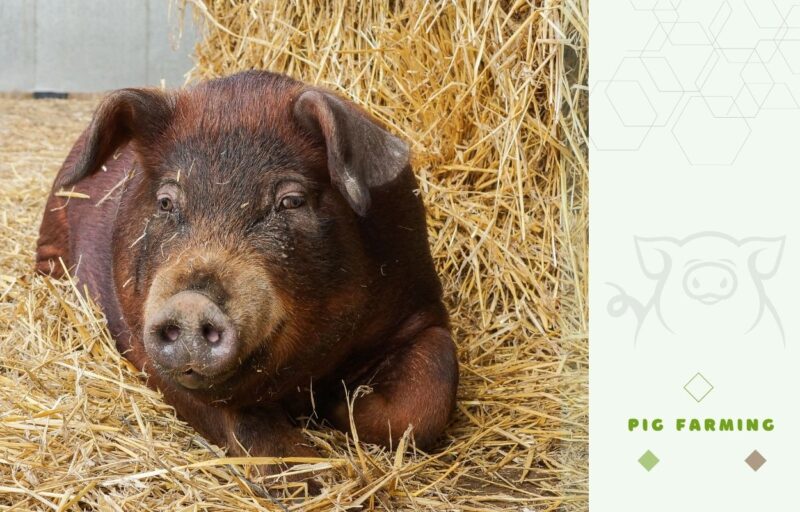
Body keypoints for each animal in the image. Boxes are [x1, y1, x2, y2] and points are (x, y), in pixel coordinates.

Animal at [35, 71, 458, 476]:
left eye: (291, 200)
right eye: (166, 201)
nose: (190, 303)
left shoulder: (422, 309)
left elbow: (427, 397)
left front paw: (340, 404)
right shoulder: (142, 341)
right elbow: (234, 416)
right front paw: (311, 480)